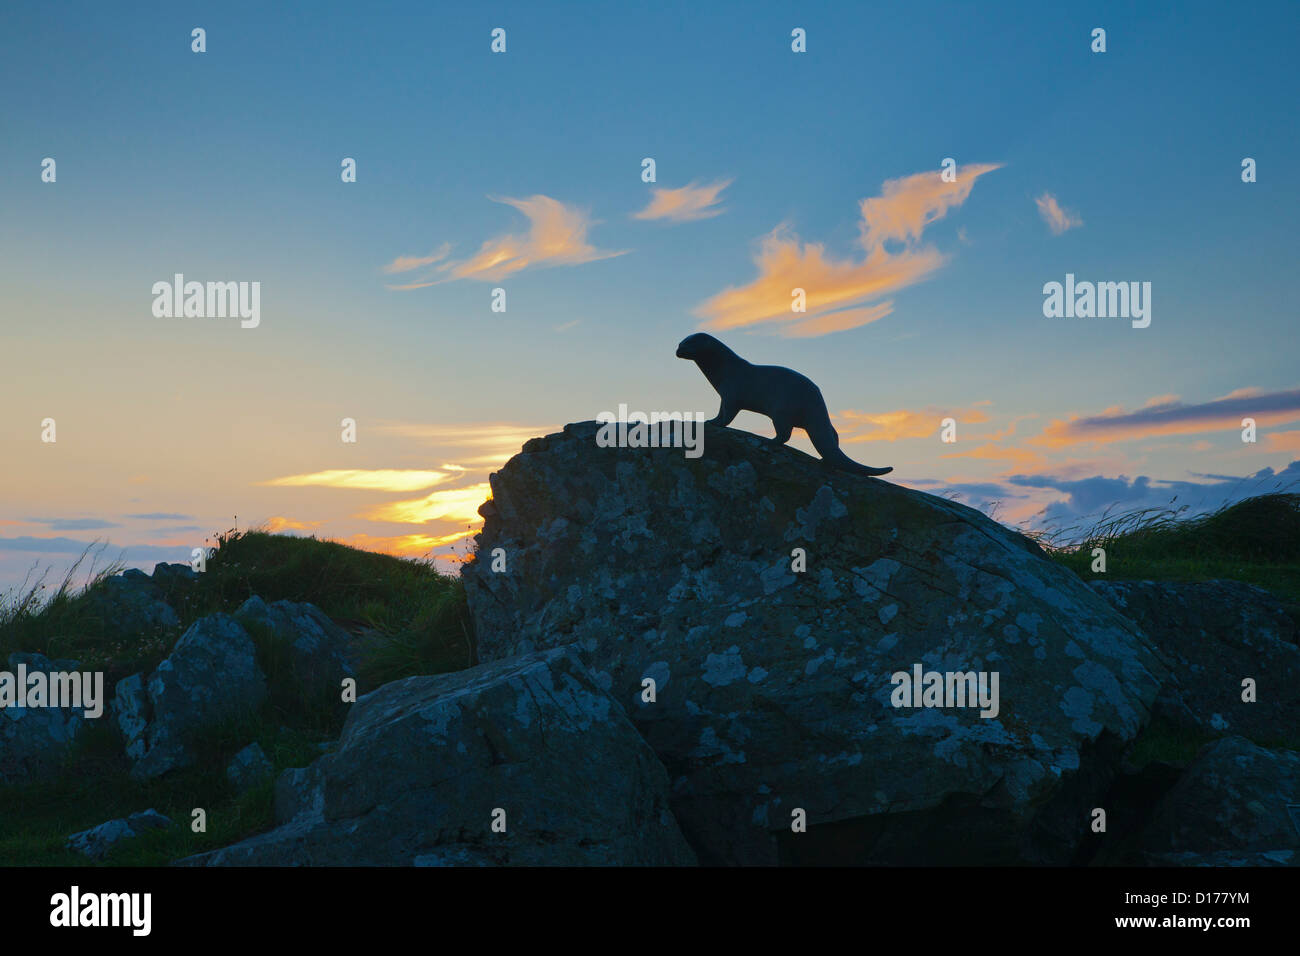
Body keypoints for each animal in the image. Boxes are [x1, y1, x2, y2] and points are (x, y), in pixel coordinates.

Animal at [676, 332, 892, 477]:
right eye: (679, 343)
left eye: (687, 343)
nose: (677, 350)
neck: (725, 369)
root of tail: (816, 401)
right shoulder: (725, 395)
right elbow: (721, 412)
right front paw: (711, 420)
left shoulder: (731, 393)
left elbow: (727, 414)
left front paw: (715, 423)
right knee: (833, 434)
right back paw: (824, 460)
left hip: (781, 410)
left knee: (785, 434)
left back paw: (770, 441)